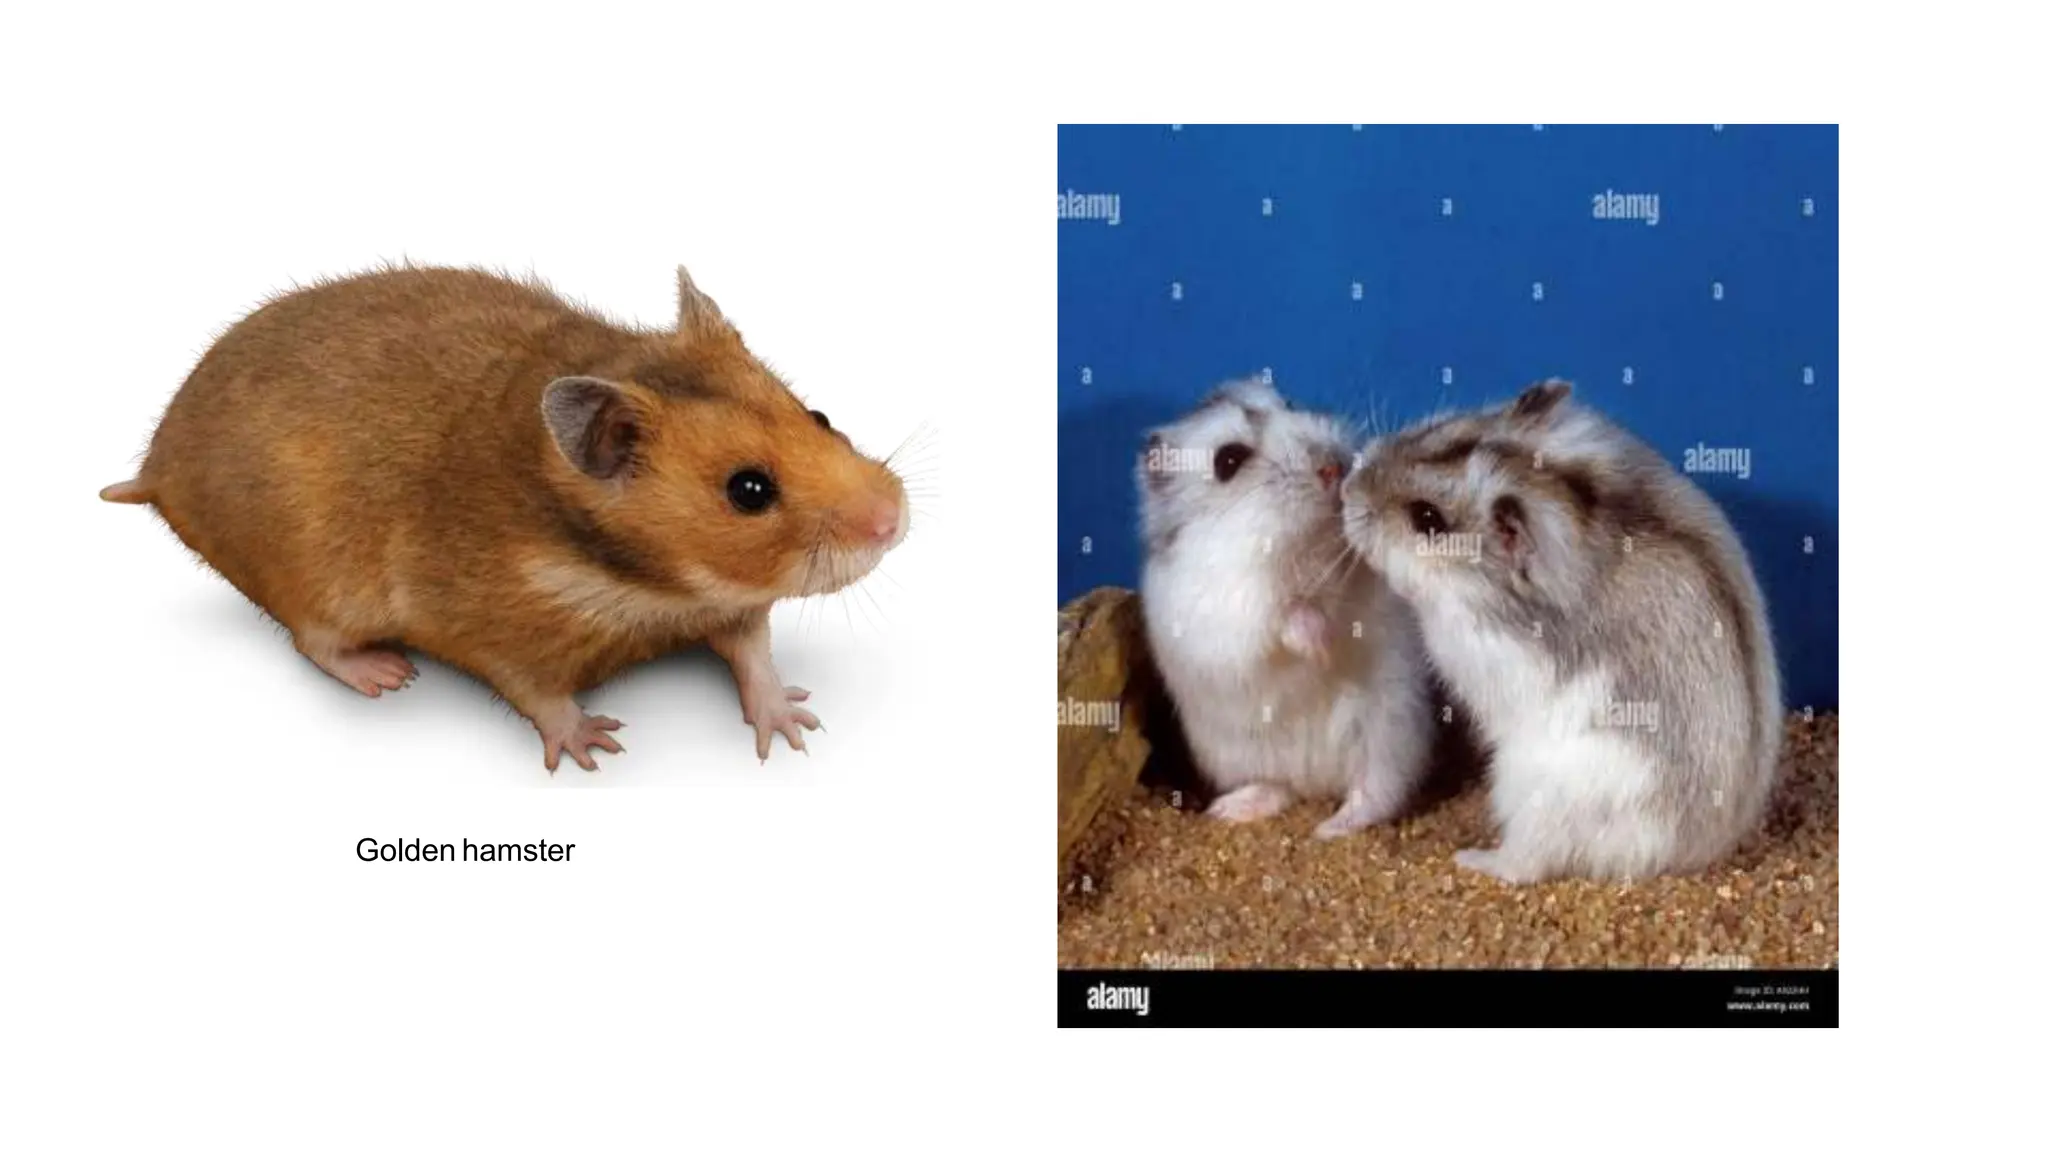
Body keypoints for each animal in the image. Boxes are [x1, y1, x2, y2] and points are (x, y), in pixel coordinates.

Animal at [100, 264, 909, 772]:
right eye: (748, 490)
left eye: (819, 416)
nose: (896, 519)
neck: (647, 585)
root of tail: (159, 466)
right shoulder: (492, 634)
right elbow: (539, 695)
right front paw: (596, 748)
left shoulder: (731, 607)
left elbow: (754, 656)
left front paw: (799, 728)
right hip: (315, 585)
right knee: (315, 642)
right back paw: (388, 677)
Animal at [1137, 379, 1433, 839]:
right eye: (1229, 459)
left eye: (1289, 403)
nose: (1334, 468)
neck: (1299, 540)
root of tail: (1318, 782)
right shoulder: (1226, 610)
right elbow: (1285, 615)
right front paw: (1321, 648)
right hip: (1237, 756)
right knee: (1280, 788)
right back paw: (1229, 810)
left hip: (1389, 732)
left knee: (1375, 794)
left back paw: (1328, 829)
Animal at [1340, 380, 1781, 882]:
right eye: (1437, 431)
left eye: (1427, 518)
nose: (1346, 490)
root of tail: (1692, 852)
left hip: (1533, 797)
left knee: (1526, 864)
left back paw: (1473, 859)